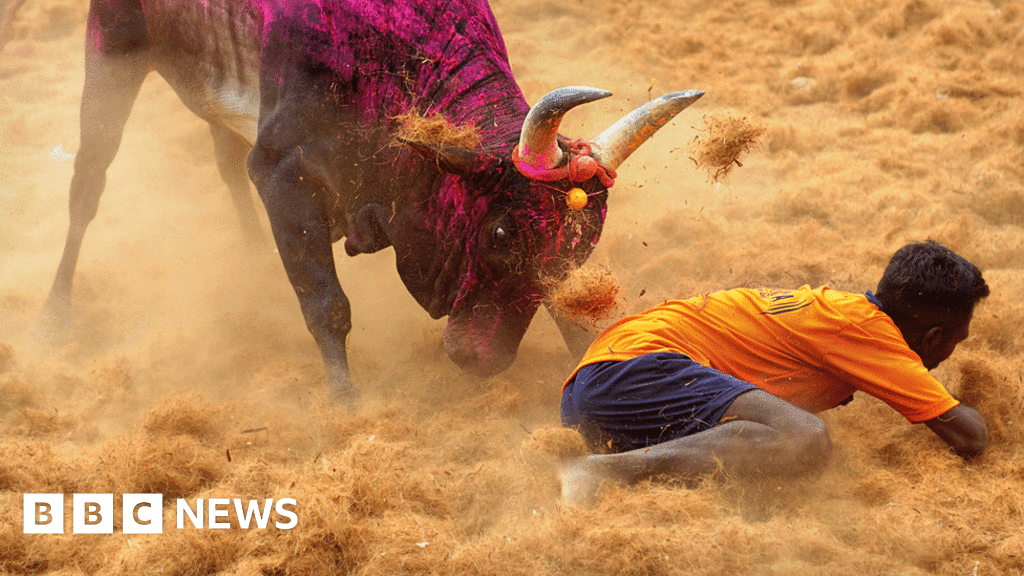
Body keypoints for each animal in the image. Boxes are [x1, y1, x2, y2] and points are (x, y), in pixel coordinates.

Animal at [37, 0, 703, 400]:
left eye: (582, 246)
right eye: (499, 234)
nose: (483, 361)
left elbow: (571, 307)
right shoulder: (281, 174)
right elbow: (326, 305)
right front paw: (348, 406)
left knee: (222, 161)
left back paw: (251, 257)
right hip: (112, 51)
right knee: (87, 186)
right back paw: (55, 316)